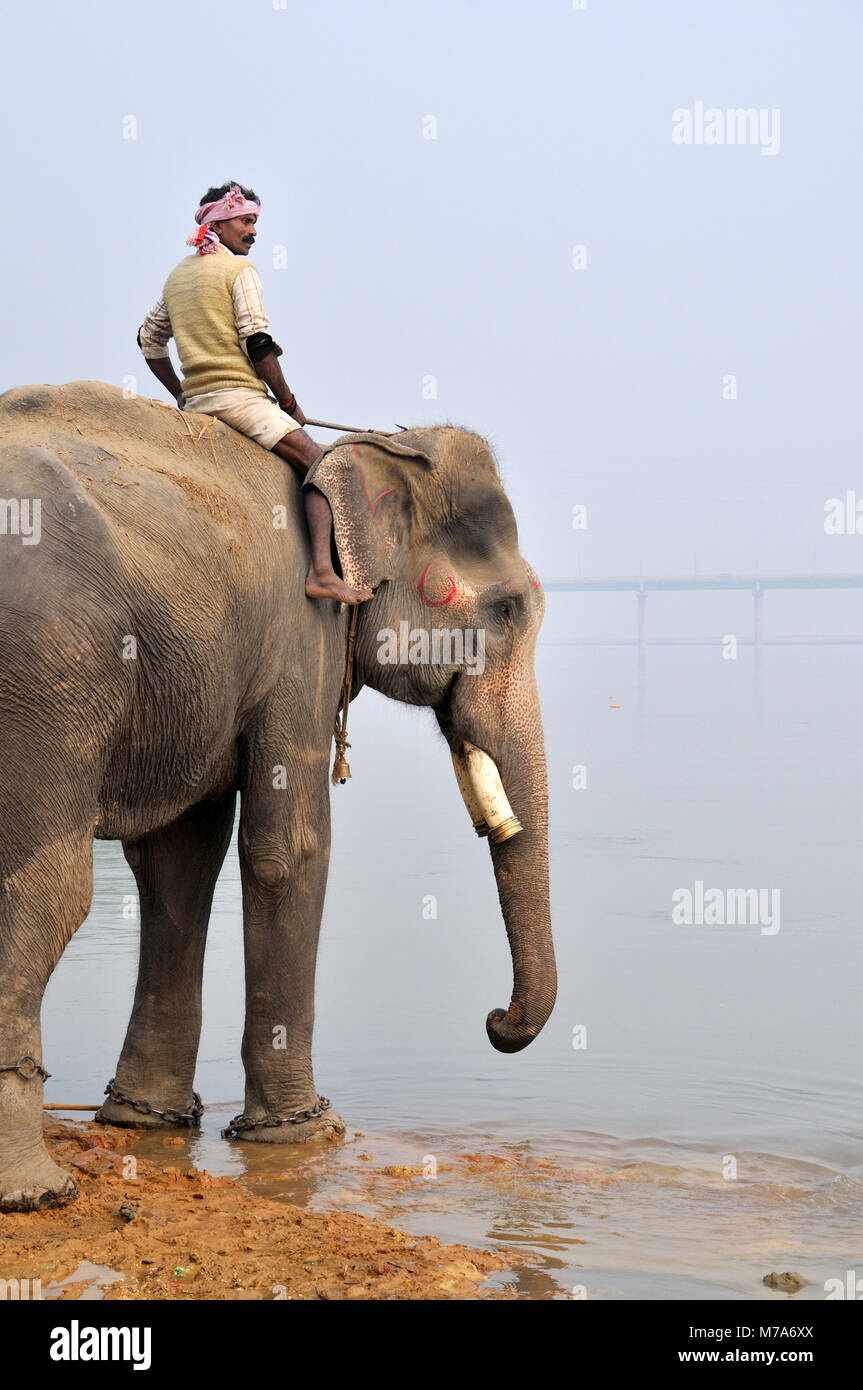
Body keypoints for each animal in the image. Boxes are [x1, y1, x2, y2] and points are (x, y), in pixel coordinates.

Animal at [0, 378, 553, 1206]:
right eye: (510, 610)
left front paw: (144, 1121)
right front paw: (306, 1133)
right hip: (50, 671)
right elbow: (289, 850)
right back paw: (37, 1192)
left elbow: (178, 861)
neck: (369, 454)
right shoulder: (302, 634)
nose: (495, 1019)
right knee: (49, 891)